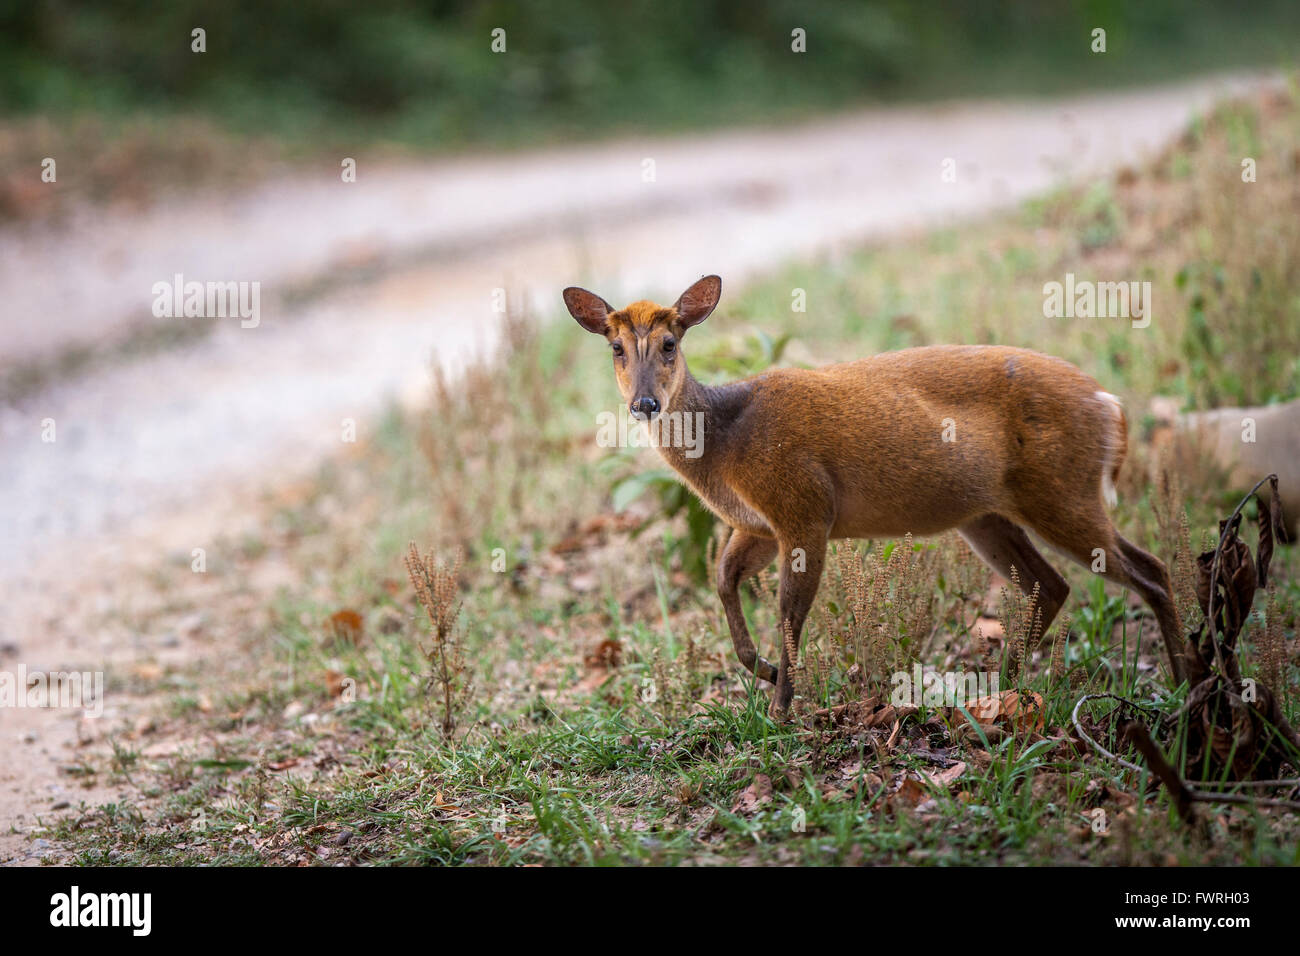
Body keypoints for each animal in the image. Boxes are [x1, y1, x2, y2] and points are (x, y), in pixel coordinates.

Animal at [564, 274, 1186, 718]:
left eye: (669, 344)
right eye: (616, 348)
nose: (644, 403)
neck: (726, 442)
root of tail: (1111, 405)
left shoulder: (804, 505)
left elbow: (789, 610)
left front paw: (781, 709)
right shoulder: (758, 524)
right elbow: (723, 579)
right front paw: (766, 674)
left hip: (1062, 491)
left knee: (1150, 569)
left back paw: (1185, 683)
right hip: (987, 514)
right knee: (1050, 585)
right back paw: (997, 692)